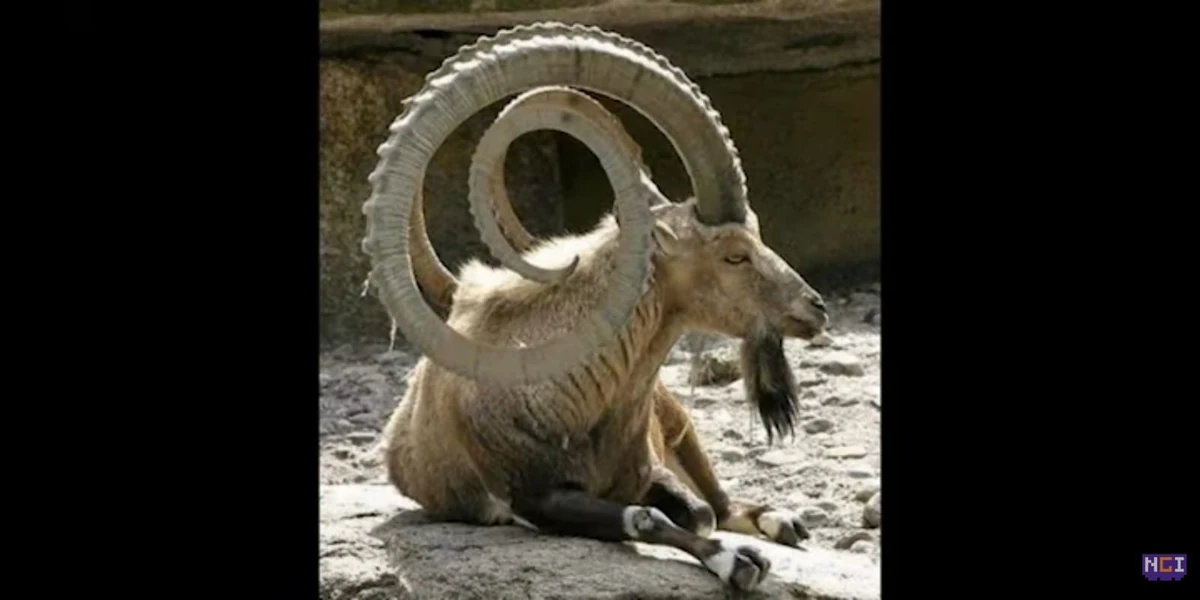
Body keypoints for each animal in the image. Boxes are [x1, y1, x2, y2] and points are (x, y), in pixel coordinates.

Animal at [361, 22, 830, 592]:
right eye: (734, 254)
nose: (815, 308)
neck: (575, 398)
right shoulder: (532, 497)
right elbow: (648, 517)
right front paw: (736, 561)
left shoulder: (648, 469)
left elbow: (697, 511)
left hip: (679, 421)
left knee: (721, 501)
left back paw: (784, 521)